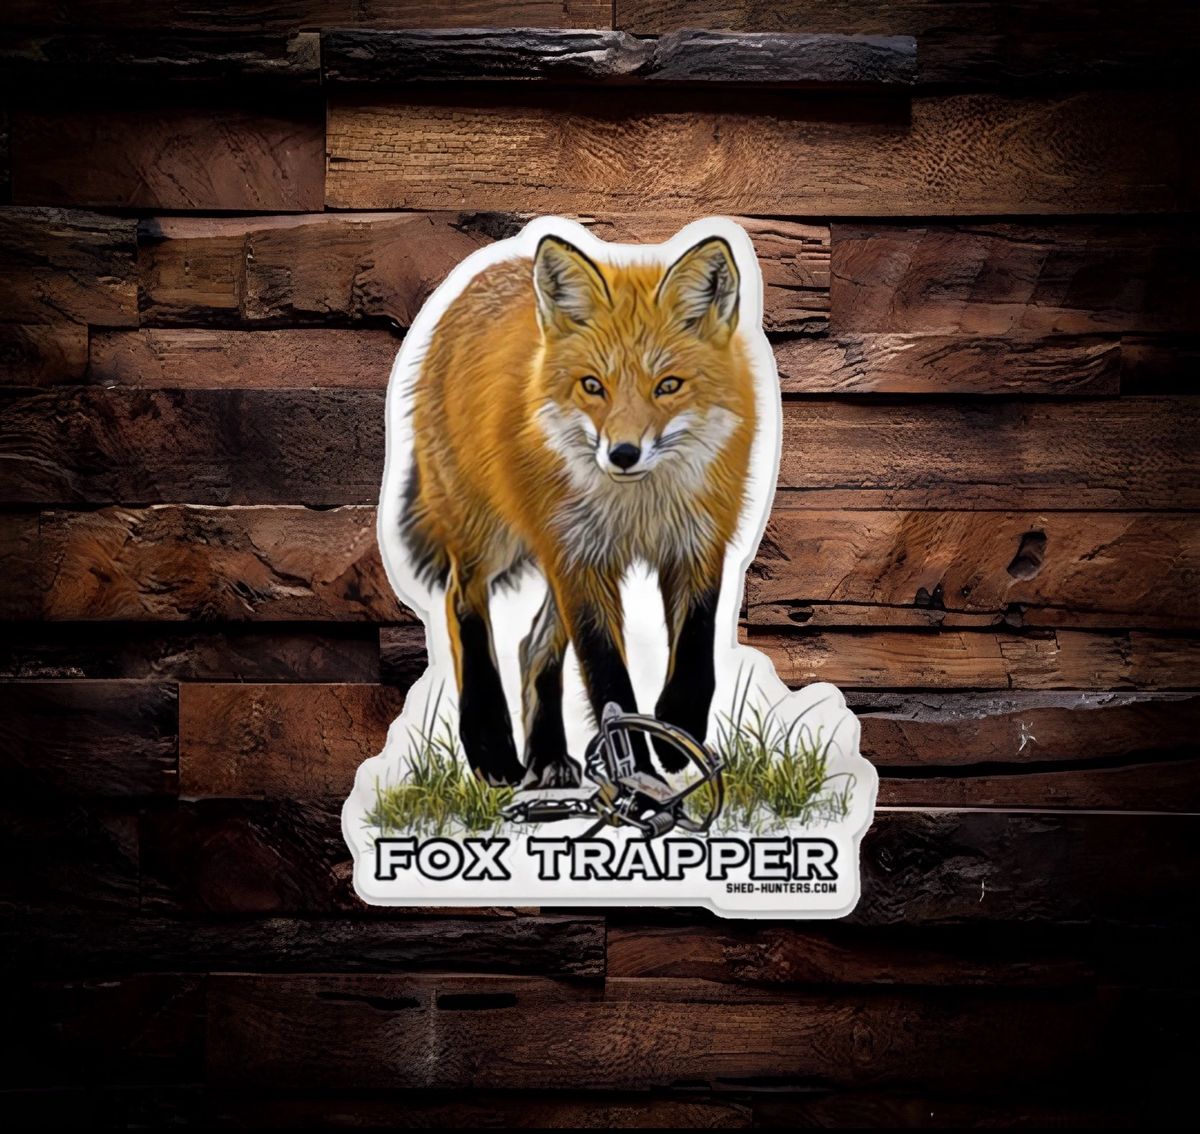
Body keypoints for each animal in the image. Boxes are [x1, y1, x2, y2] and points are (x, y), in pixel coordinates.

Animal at [399, 228, 757, 789]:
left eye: (668, 386)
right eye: (593, 386)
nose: (623, 453)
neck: (639, 509)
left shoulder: (699, 543)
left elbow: (697, 650)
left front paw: (677, 734)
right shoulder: (579, 560)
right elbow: (609, 681)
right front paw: (636, 770)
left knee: (531, 645)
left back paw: (546, 756)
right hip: (493, 539)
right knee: (461, 604)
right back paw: (491, 746)